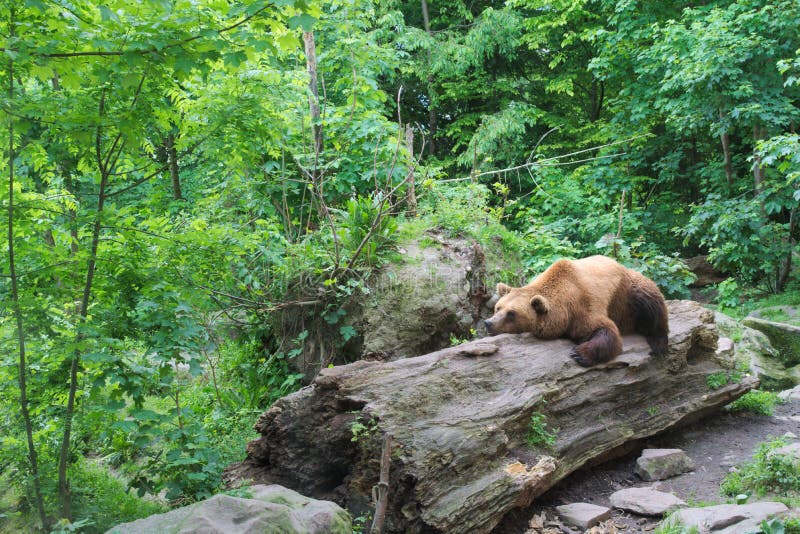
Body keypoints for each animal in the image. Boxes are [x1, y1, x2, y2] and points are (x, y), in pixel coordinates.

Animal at [483, 255, 669, 367]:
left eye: (511, 313)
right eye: (498, 307)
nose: (488, 323)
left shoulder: (583, 306)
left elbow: (605, 330)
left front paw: (579, 354)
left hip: (629, 293)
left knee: (651, 302)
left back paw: (658, 343)